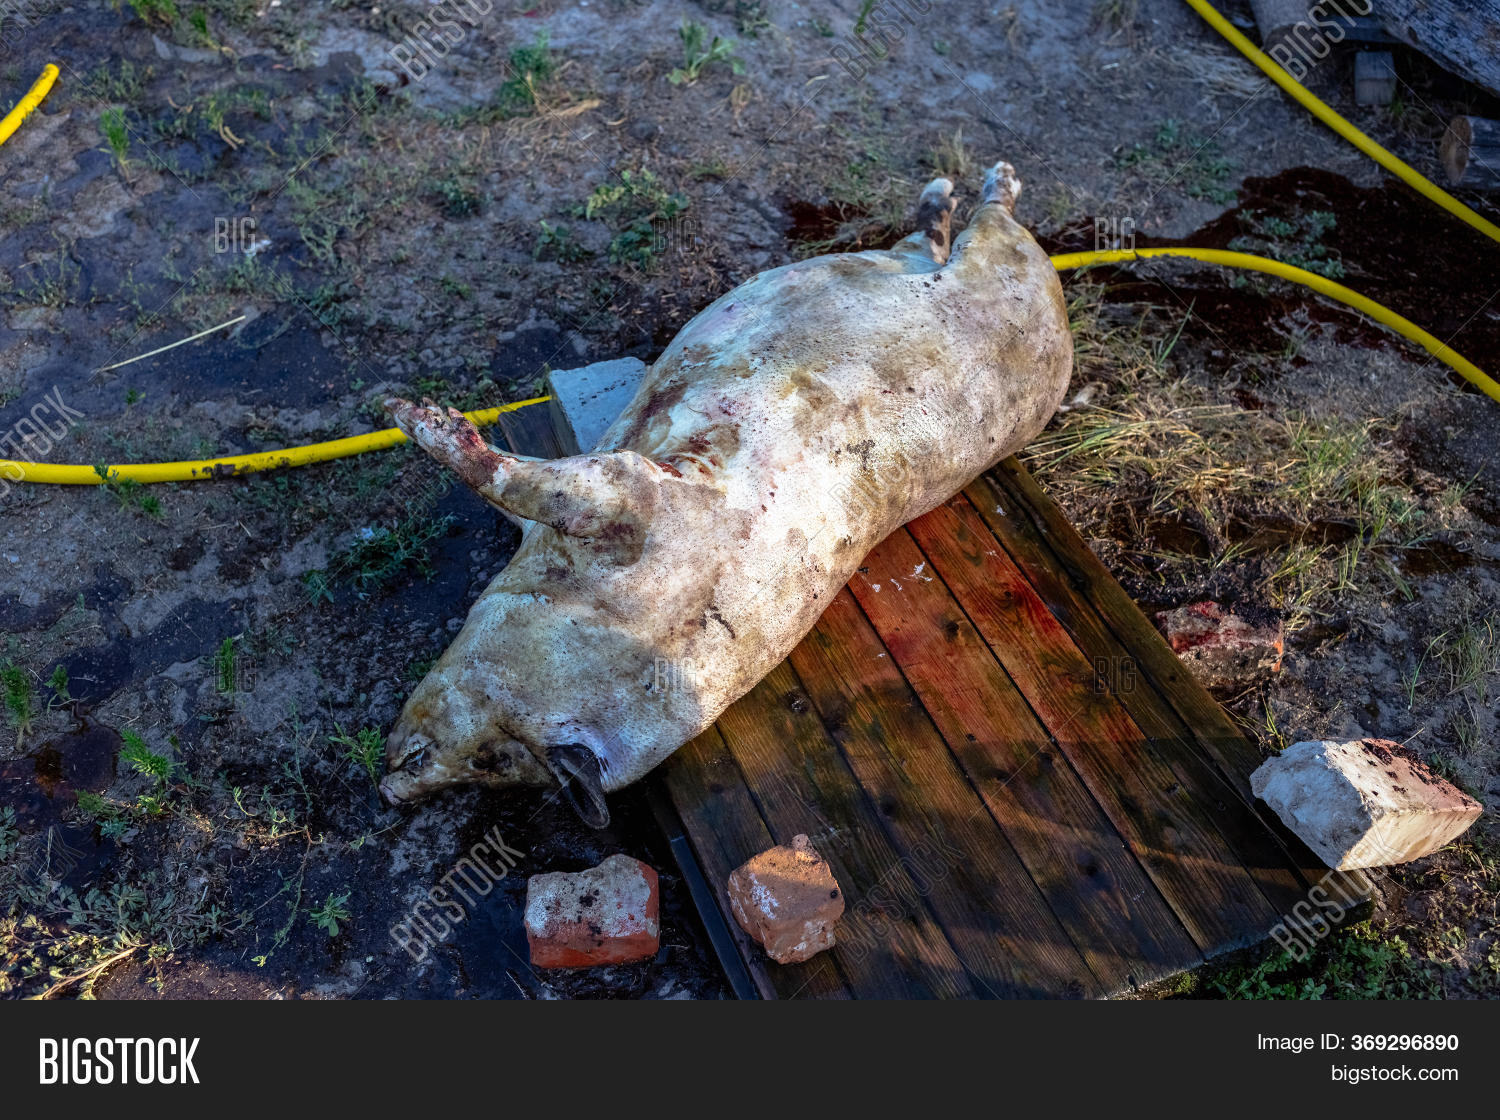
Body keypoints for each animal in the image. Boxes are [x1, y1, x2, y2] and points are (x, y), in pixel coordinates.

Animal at [379, 160, 1073, 825]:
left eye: (494, 760)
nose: (390, 791)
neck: (628, 627)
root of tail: (1064, 320)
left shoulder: (636, 499)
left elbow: (529, 480)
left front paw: (403, 409)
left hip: (1006, 260)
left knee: (993, 220)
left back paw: (998, 176)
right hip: (918, 262)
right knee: (925, 238)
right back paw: (940, 188)